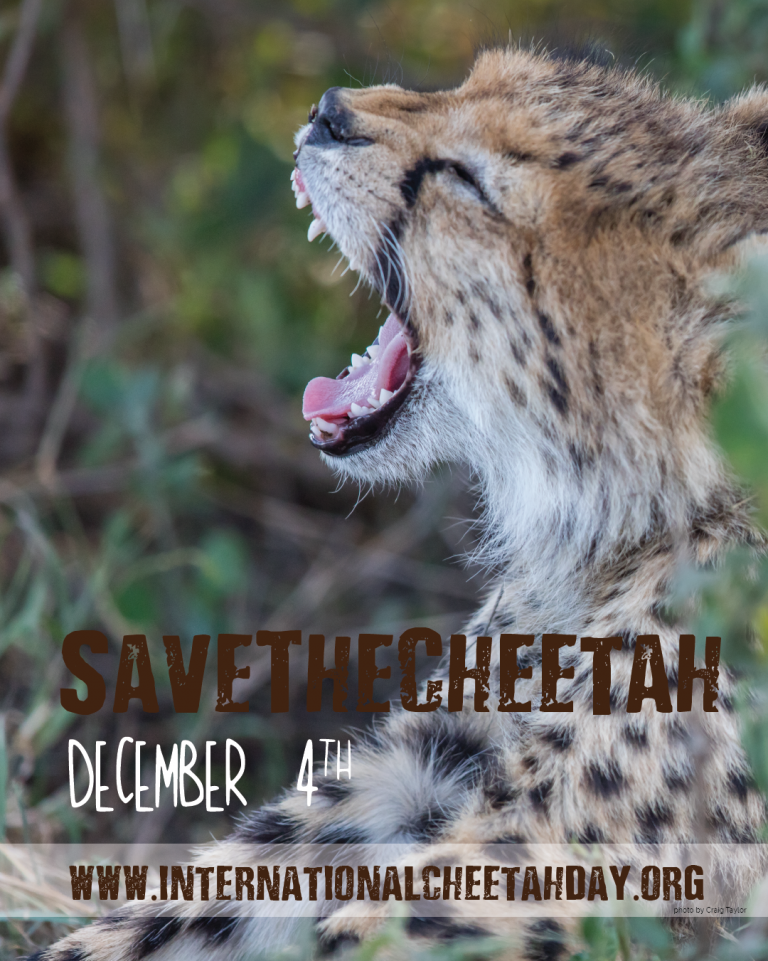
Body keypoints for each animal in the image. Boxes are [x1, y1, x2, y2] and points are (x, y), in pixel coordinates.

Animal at [30, 43, 768, 961]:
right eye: (475, 78)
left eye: (469, 180)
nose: (328, 110)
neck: (610, 527)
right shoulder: (412, 772)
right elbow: (182, 904)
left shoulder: (534, 868)